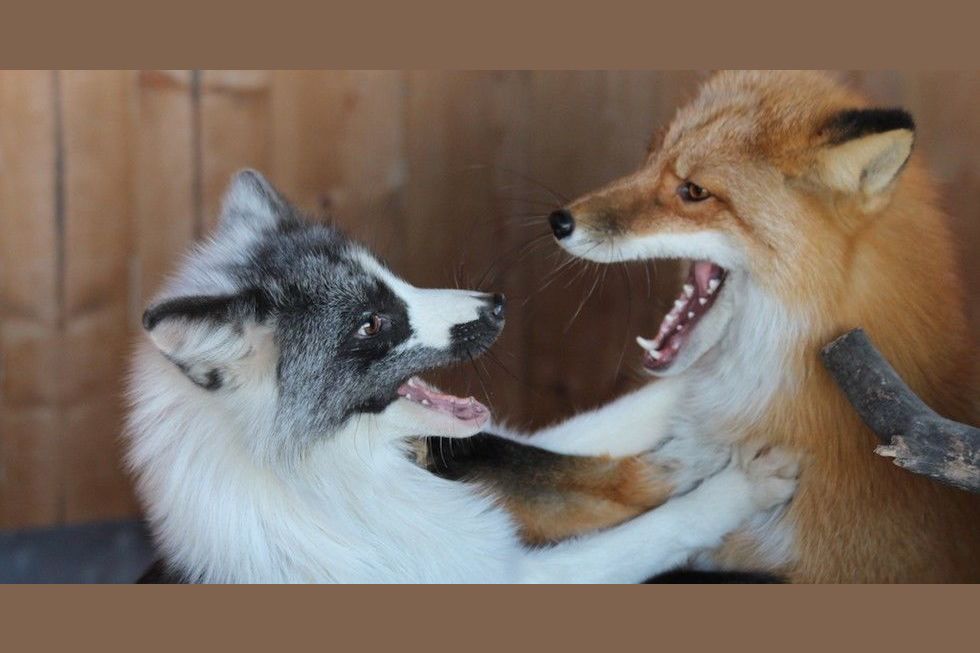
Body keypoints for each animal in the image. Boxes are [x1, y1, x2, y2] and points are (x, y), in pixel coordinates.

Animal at [127, 169, 797, 583]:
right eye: (372, 324)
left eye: (393, 278)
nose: (498, 305)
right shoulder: (516, 573)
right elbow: (663, 528)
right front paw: (736, 489)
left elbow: (603, 430)